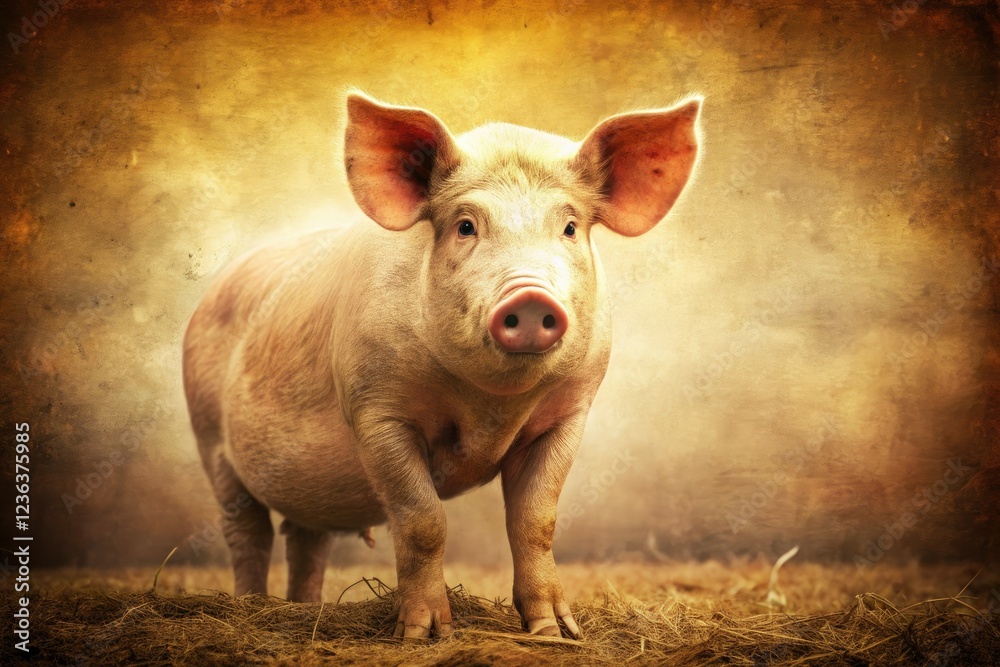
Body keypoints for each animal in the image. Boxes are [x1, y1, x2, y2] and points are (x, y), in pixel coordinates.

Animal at [183, 91, 700, 639]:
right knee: (247, 530)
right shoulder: (375, 408)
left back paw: (305, 610)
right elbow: (422, 520)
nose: (531, 297)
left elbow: (535, 521)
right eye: (465, 226)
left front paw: (557, 633)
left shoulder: (569, 413)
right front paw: (424, 635)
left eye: (570, 227)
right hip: (209, 436)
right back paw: (251, 606)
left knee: (305, 536)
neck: (489, 406)